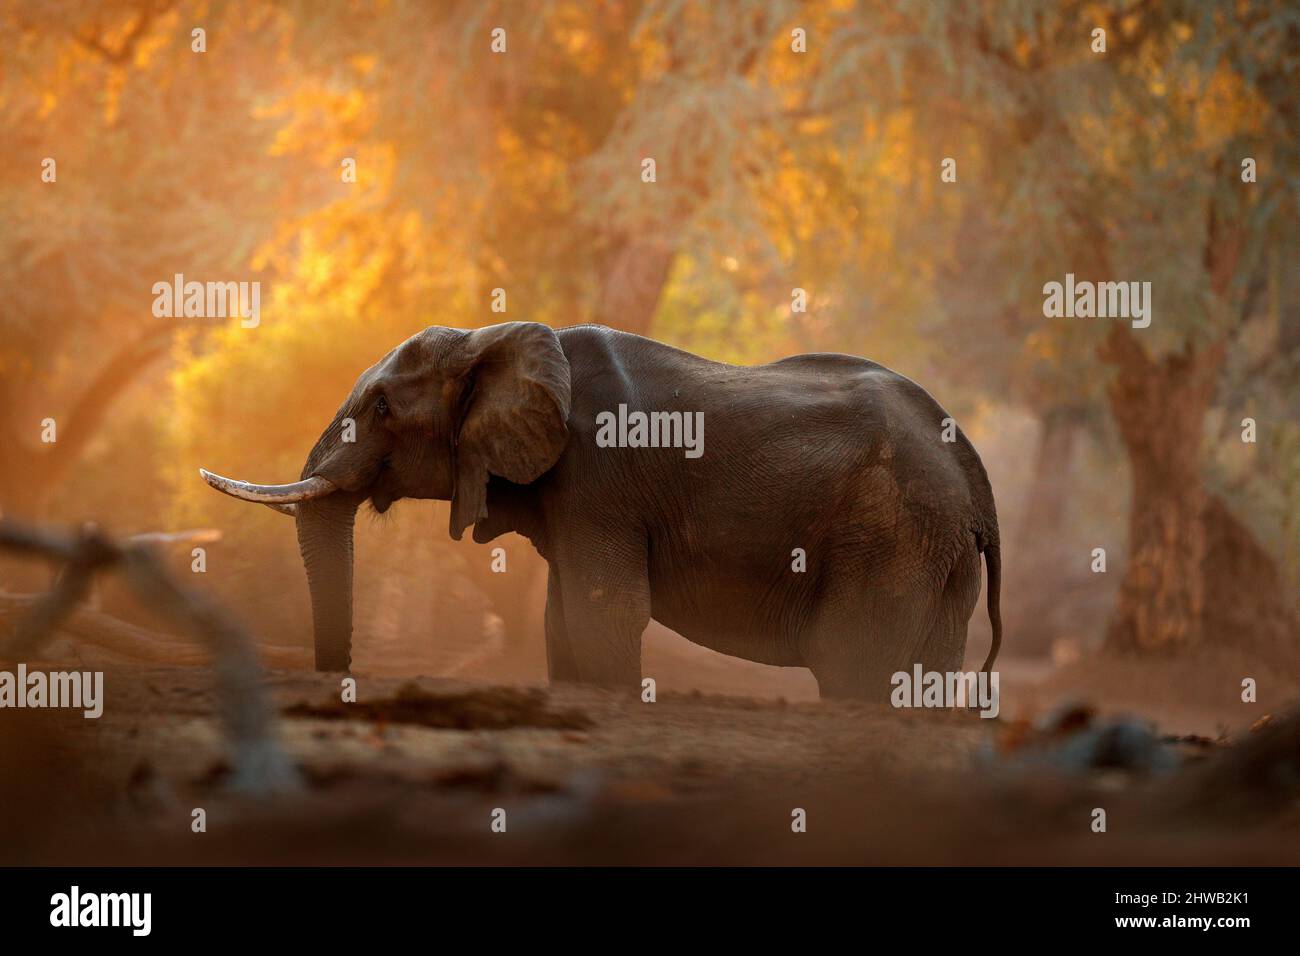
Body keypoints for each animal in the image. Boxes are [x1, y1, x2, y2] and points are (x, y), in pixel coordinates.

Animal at [200, 321, 1002, 700]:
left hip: (891, 534)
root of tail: (972, 469)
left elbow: (601, 612)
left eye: (382, 409)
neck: (494, 336)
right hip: (937, 553)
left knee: (852, 667)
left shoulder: (599, 483)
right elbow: (562, 622)